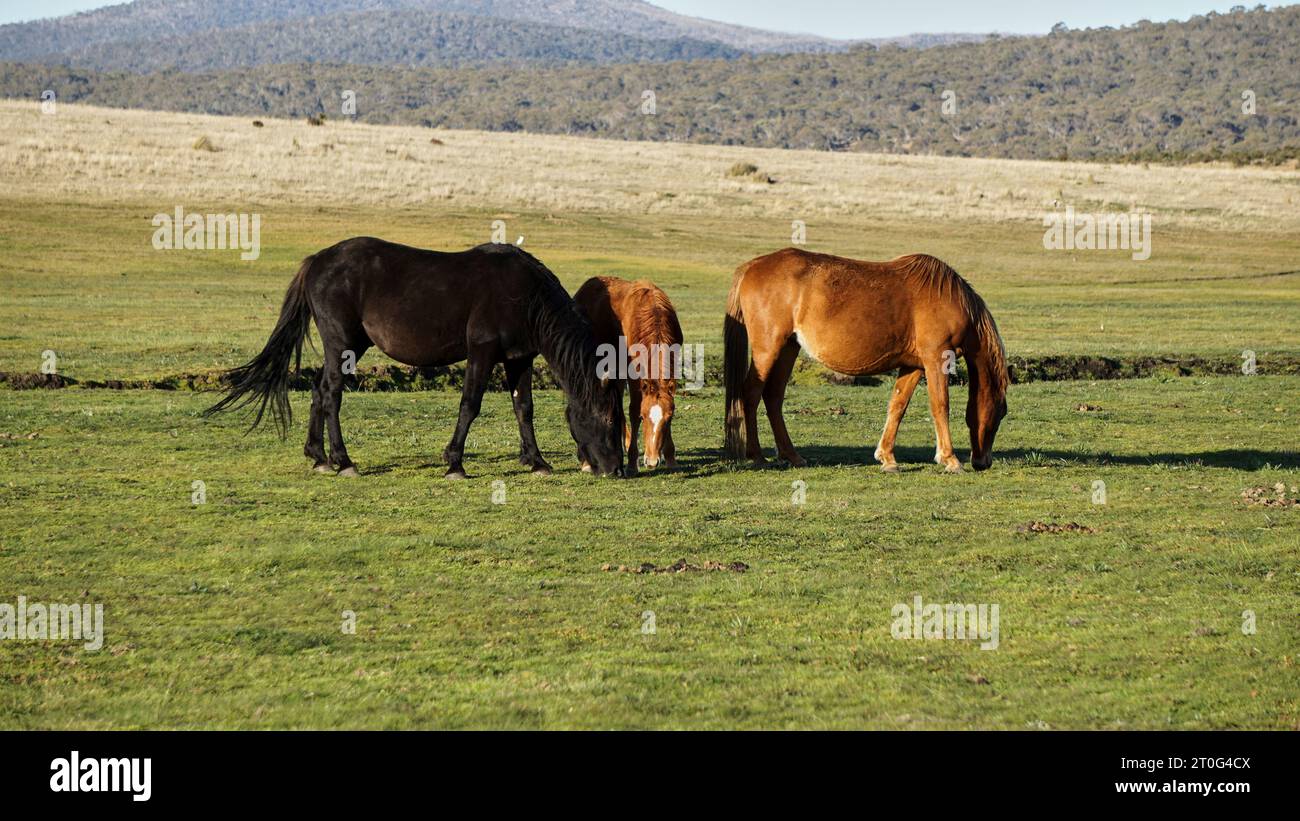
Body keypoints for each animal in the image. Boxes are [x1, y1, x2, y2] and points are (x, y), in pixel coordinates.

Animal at [205, 239, 626, 478]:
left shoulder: (517, 358)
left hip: (350, 345)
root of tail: (318, 260)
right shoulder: (482, 352)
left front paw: (536, 461)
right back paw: (344, 461)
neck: (524, 295)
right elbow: (470, 405)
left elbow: (524, 408)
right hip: (342, 343)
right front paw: (454, 463)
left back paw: (319, 456)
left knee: (318, 390)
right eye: (608, 419)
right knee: (331, 394)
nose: (617, 470)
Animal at [574, 276, 683, 473]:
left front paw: (671, 458)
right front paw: (633, 462)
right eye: (644, 416)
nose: (652, 461)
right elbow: (633, 410)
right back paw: (587, 462)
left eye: (668, 419)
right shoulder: (634, 374)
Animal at [723, 248, 1008, 472]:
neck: (951, 300)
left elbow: (897, 406)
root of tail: (751, 267)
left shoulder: (913, 366)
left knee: (773, 397)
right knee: (751, 393)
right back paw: (757, 456)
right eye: (1001, 412)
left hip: (788, 348)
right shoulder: (936, 359)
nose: (983, 462)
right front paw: (949, 459)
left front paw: (887, 457)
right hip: (768, 349)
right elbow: (940, 405)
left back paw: (792, 456)